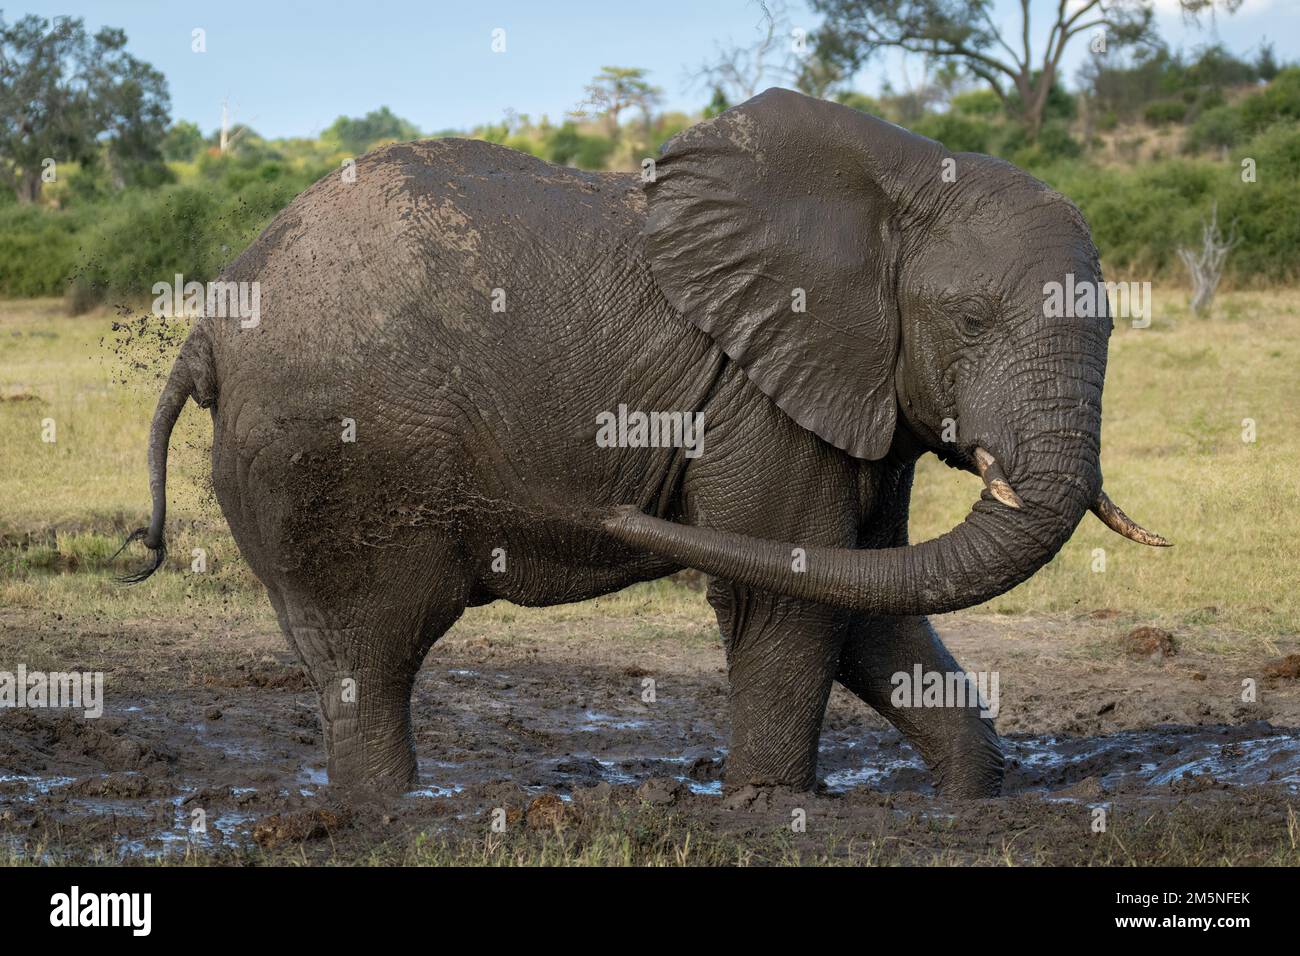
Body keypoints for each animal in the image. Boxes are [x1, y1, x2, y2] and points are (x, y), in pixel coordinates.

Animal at [119, 88, 1168, 798]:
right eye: (975, 321)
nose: (623, 498)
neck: (900, 184)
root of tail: (209, 325)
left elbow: (866, 590)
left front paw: (974, 796)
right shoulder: (758, 390)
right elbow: (789, 584)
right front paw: (768, 808)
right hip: (340, 453)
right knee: (372, 649)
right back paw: (396, 814)